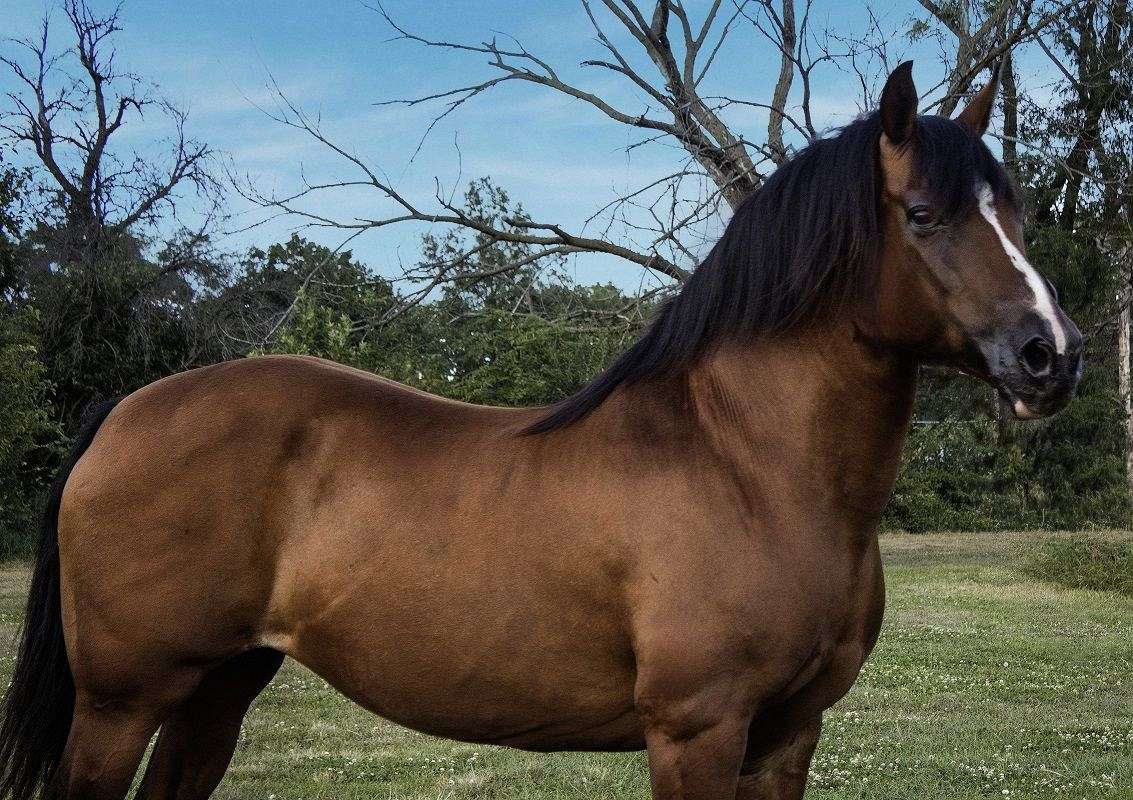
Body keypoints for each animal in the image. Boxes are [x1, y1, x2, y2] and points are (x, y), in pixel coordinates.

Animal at [0, 60, 1083, 800]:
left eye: (1017, 215)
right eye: (922, 214)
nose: (1052, 354)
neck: (749, 465)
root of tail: (126, 412)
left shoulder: (787, 736)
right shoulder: (697, 729)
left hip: (220, 687)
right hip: (123, 701)